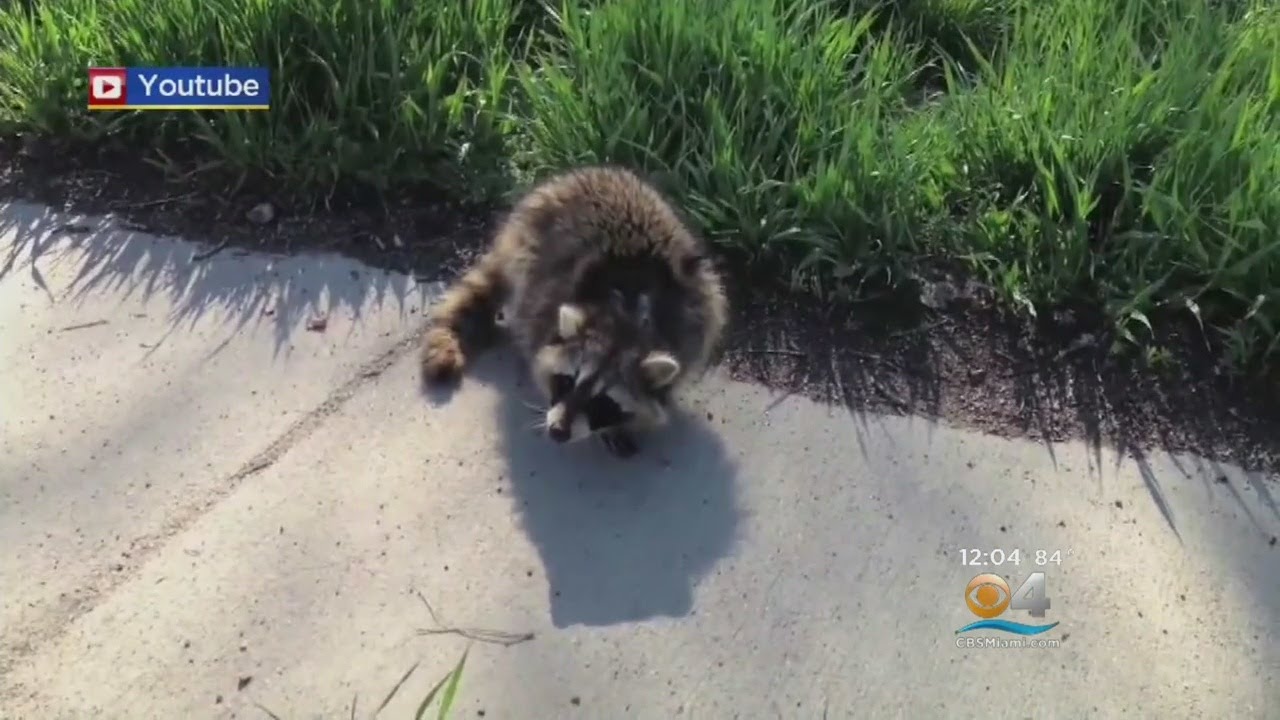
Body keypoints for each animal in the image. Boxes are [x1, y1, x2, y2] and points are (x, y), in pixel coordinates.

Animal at [419, 165, 728, 457]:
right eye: (567, 381)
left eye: (603, 402)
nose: (557, 432)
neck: (622, 320)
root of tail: (595, 171)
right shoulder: (542, 306)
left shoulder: (687, 329)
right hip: (531, 242)